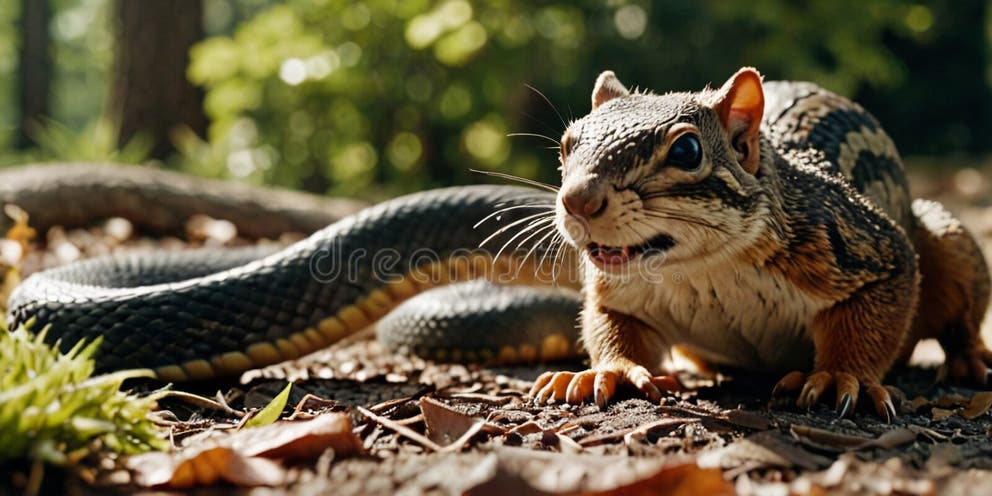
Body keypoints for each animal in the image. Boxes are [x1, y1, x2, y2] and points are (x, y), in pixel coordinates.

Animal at [529, 68, 992, 420]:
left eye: (686, 150)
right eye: (568, 143)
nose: (578, 201)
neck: (705, 267)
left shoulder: (862, 245)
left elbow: (869, 316)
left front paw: (841, 377)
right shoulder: (620, 292)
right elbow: (616, 326)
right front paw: (611, 371)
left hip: (948, 243)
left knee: (961, 320)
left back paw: (969, 360)